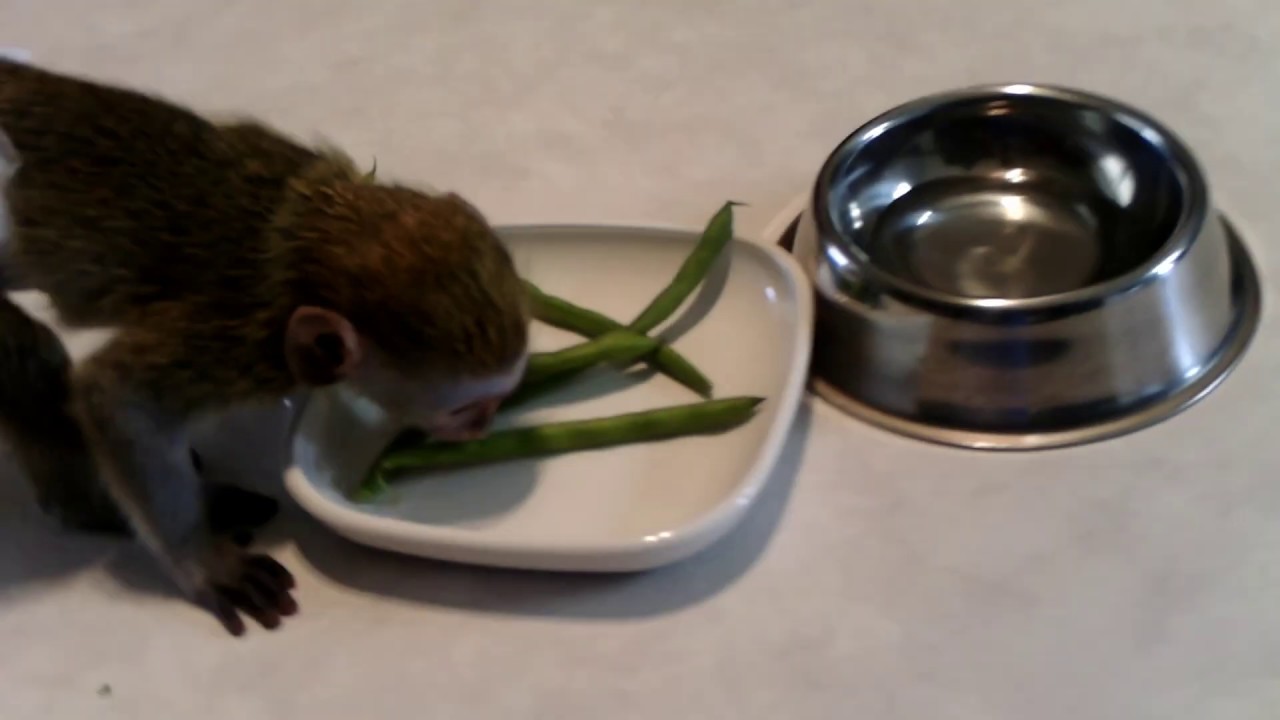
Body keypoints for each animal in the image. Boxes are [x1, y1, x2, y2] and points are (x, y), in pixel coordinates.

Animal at [0, 59, 530, 635]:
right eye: (466, 410)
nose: (483, 428)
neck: (303, 236)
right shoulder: (249, 340)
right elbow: (117, 395)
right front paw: (205, 563)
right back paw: (95, 507)